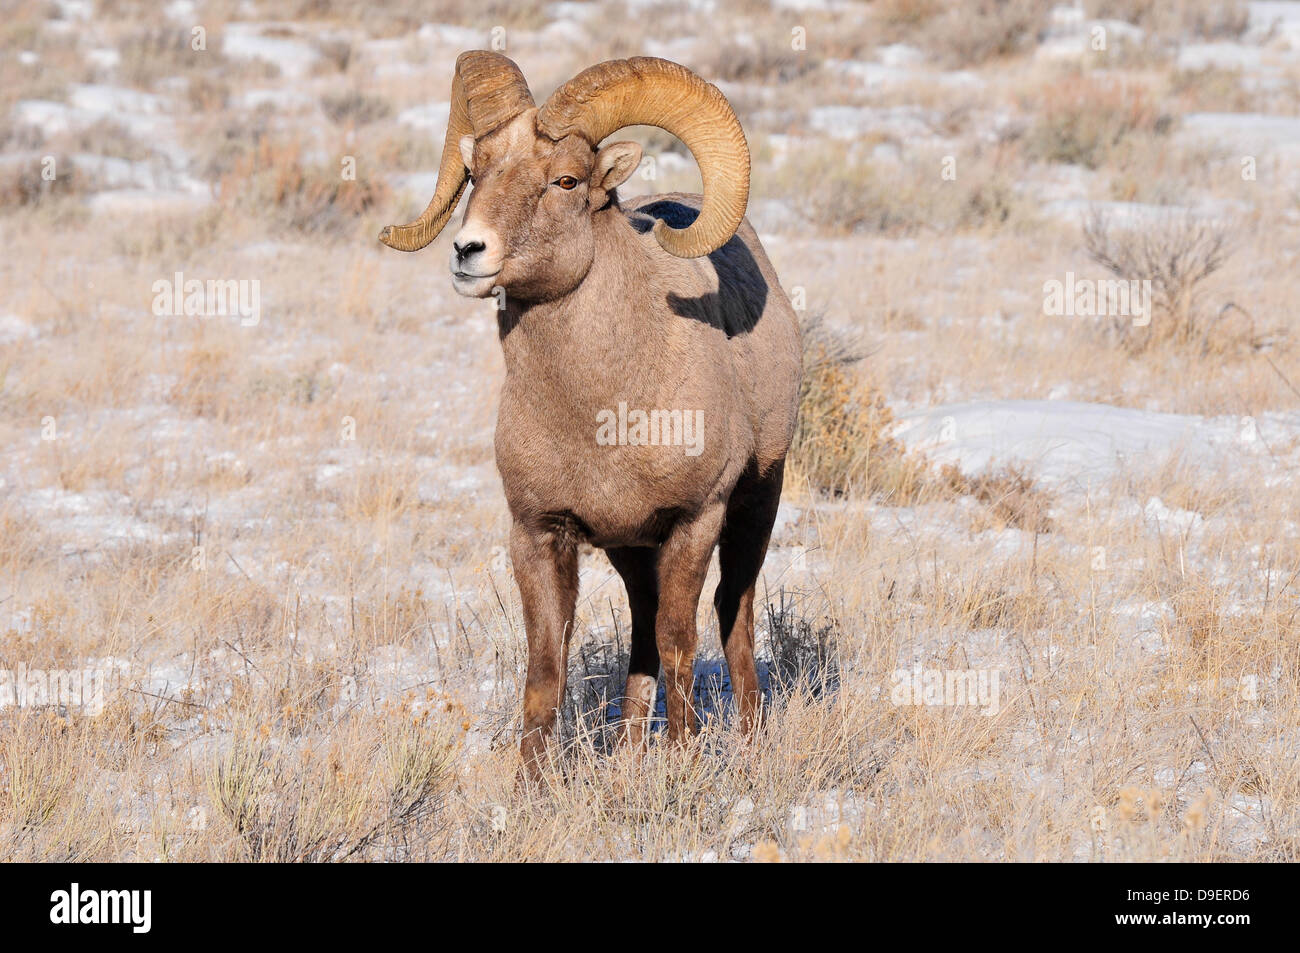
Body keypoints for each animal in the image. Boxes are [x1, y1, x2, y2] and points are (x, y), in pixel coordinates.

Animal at [379, 52, 802, 781]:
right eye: (476, 171)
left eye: (566, 180)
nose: (468, 252)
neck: (602, 419)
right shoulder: (539, 533)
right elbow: (547, 667)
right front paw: (532, 785)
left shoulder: (695, 521)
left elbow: (679, 642)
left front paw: (681, 765)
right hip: (631, 550)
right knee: (641, 624)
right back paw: (629, 750)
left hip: (755, 505)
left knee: (732, 612)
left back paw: (747, 740)